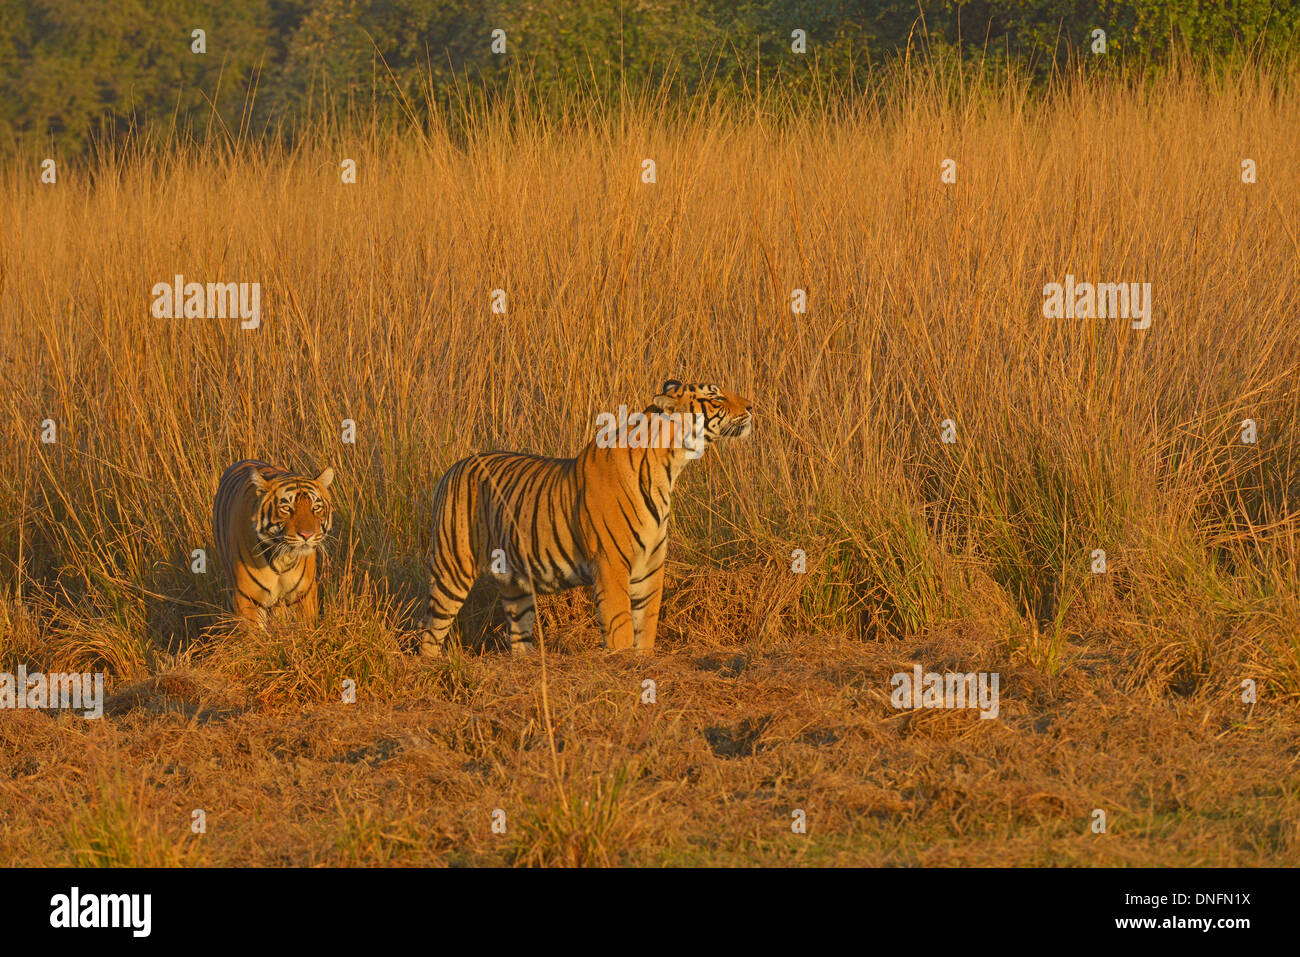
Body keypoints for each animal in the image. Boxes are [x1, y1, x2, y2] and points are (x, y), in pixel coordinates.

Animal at [212, 459, 335, 626]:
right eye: (286, 508)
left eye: (316, 508)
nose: (307, 535)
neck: (282, 560)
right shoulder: (247, 598)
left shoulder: (304, 594)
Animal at [417, 380, 753, 657]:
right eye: (716, 397)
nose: (751, 406)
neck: (669, 466)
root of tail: (452, 469)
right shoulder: (611, 564)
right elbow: (621, 628)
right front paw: (623, 663)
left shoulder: (649, 568)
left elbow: (646, 624)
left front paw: (643, 661)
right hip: (452, 568)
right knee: (430, 631)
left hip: (515, 584)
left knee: (518, 635)